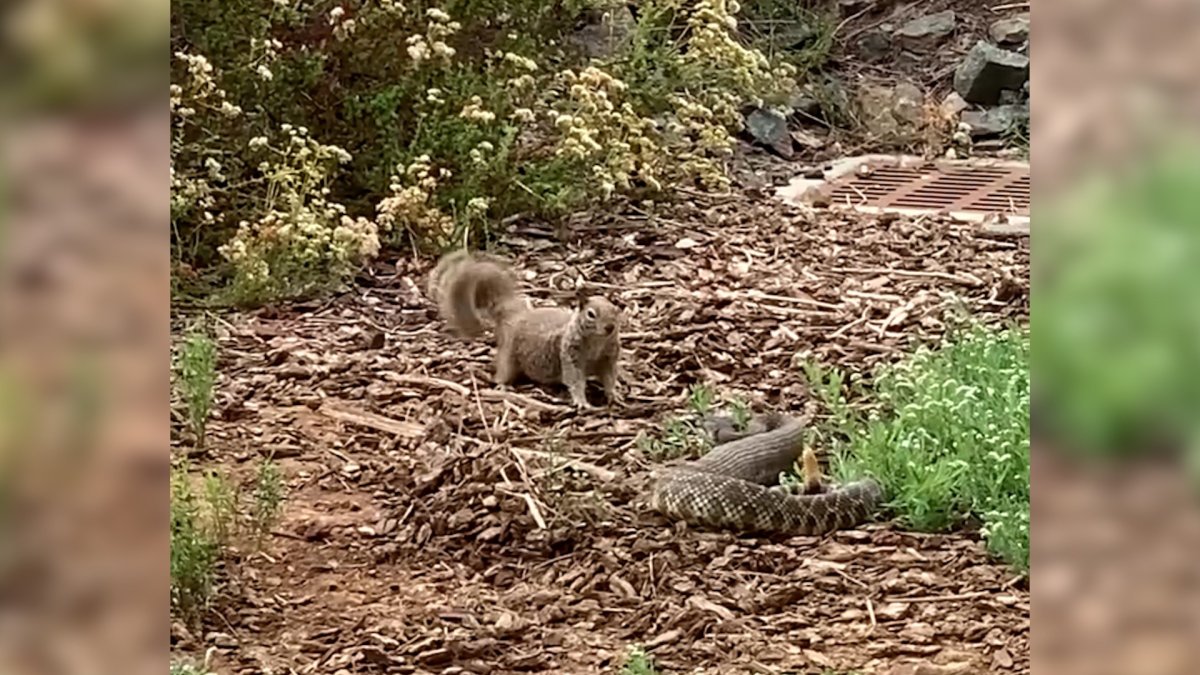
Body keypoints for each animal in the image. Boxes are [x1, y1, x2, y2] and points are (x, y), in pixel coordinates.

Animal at [429, 250, 623, 409]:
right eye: (591, 314)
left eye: (616, 311)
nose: (610, 327)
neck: (597, 342)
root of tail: (515, 317)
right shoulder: (569, 354)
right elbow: (574, 379)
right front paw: (582, 401)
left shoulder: (608, 358)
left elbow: (609, 378)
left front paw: (614, 394)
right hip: (509, 355)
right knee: (504, 371)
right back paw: (503, 385)